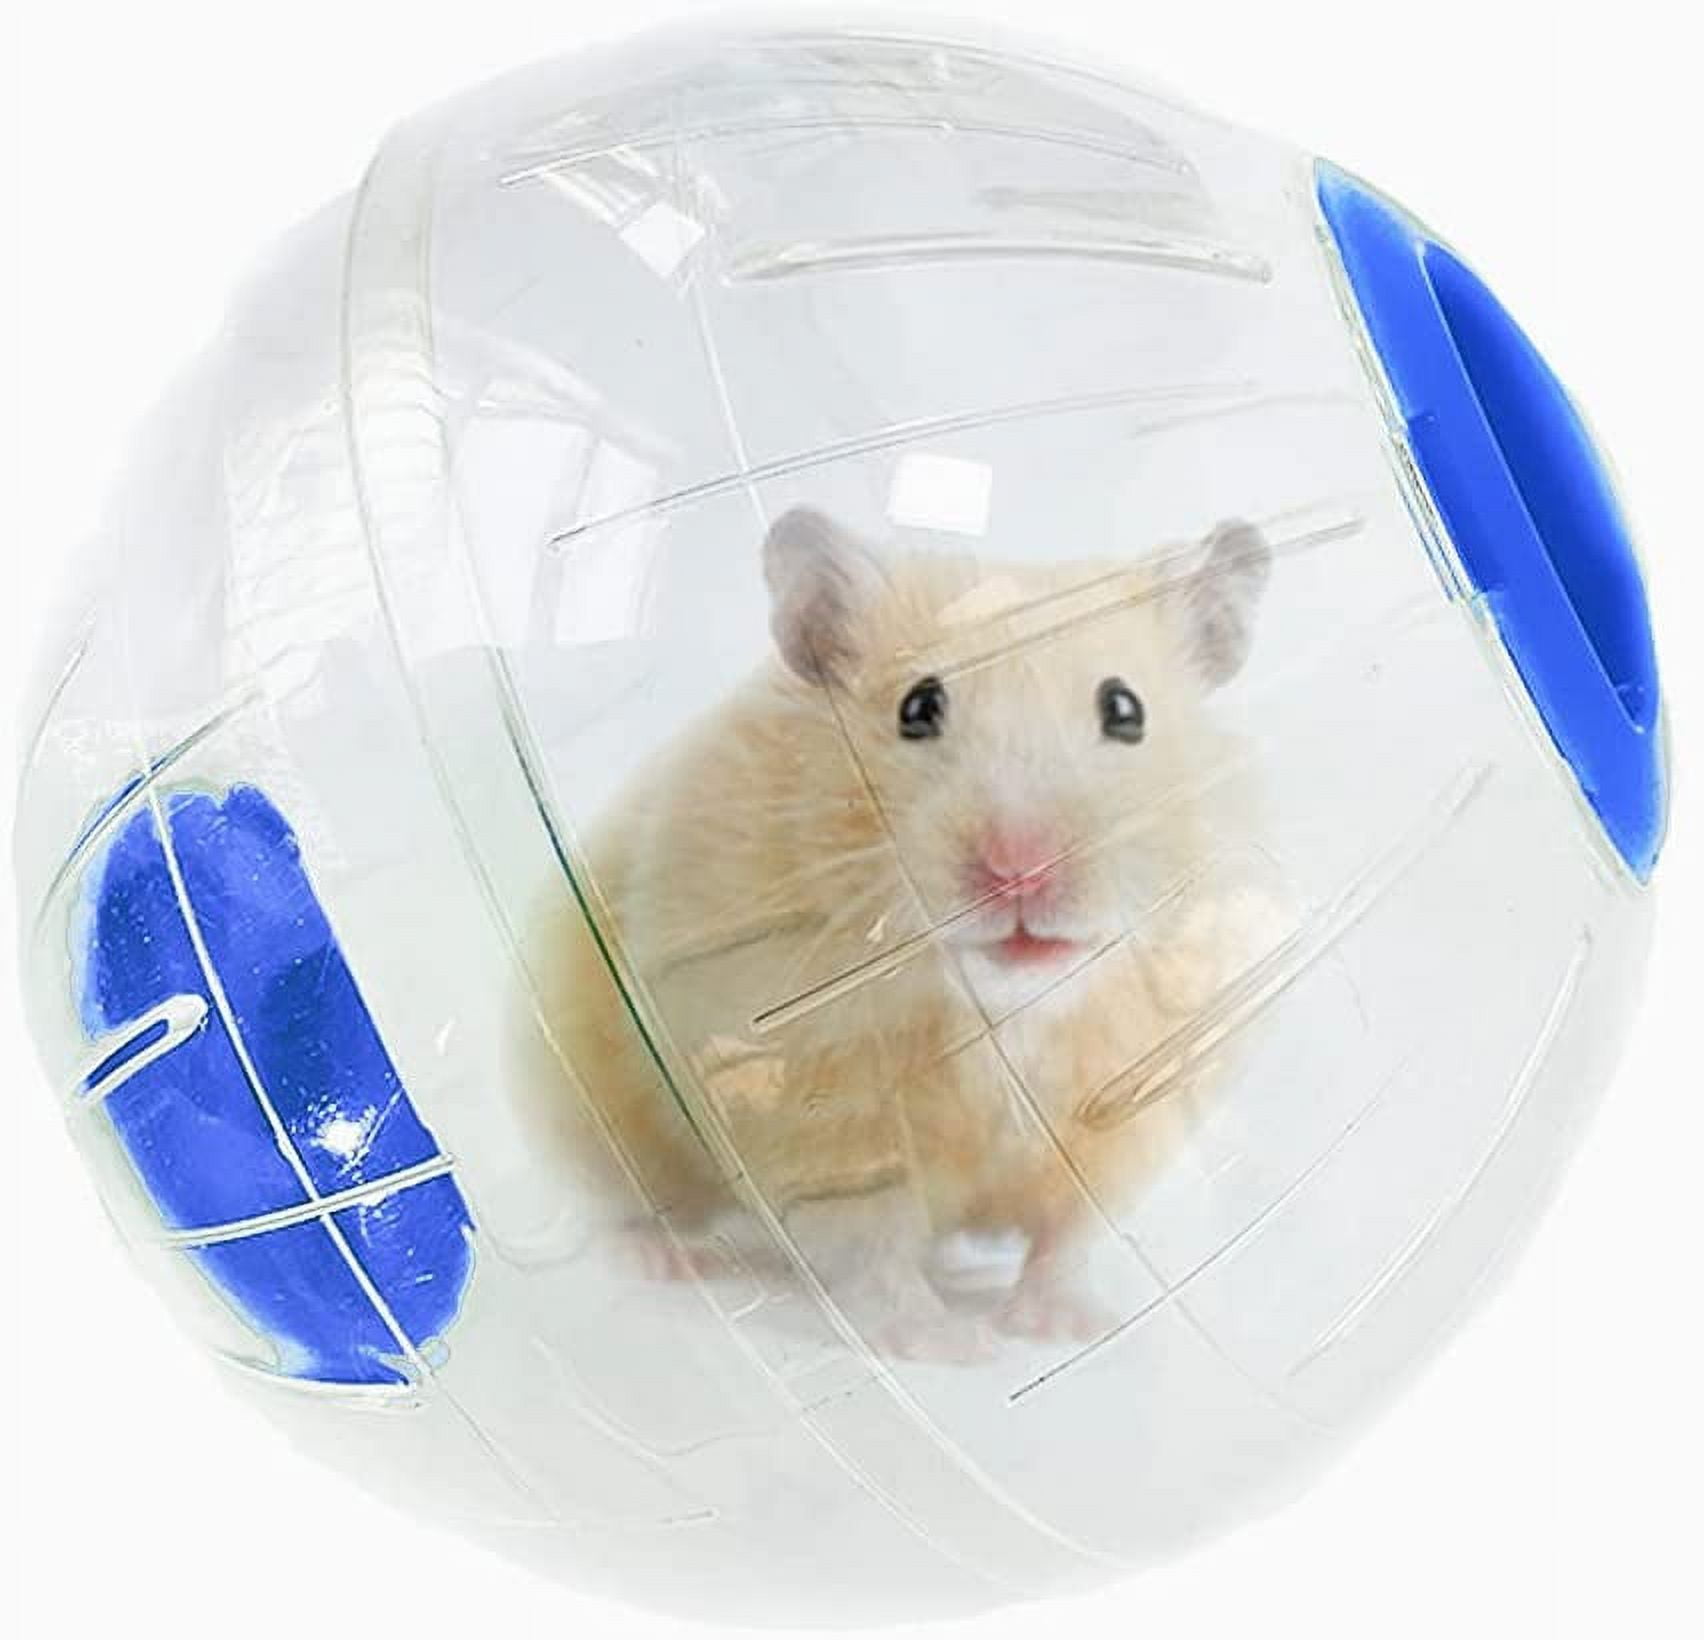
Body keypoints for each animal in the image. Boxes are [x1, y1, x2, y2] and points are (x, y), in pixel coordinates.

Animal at [510, 505, 1275, 1361]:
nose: (1019, 871)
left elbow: (1066, 1238)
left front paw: (1065, 1328)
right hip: (588, 1093)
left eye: (1125, 710)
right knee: (624, 1195)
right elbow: (872, 1247)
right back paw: (660, 1258)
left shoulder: (1125, 1116)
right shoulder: (826, 1127)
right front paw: (949, 1345)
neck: (1002, 1012)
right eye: (918, 707)